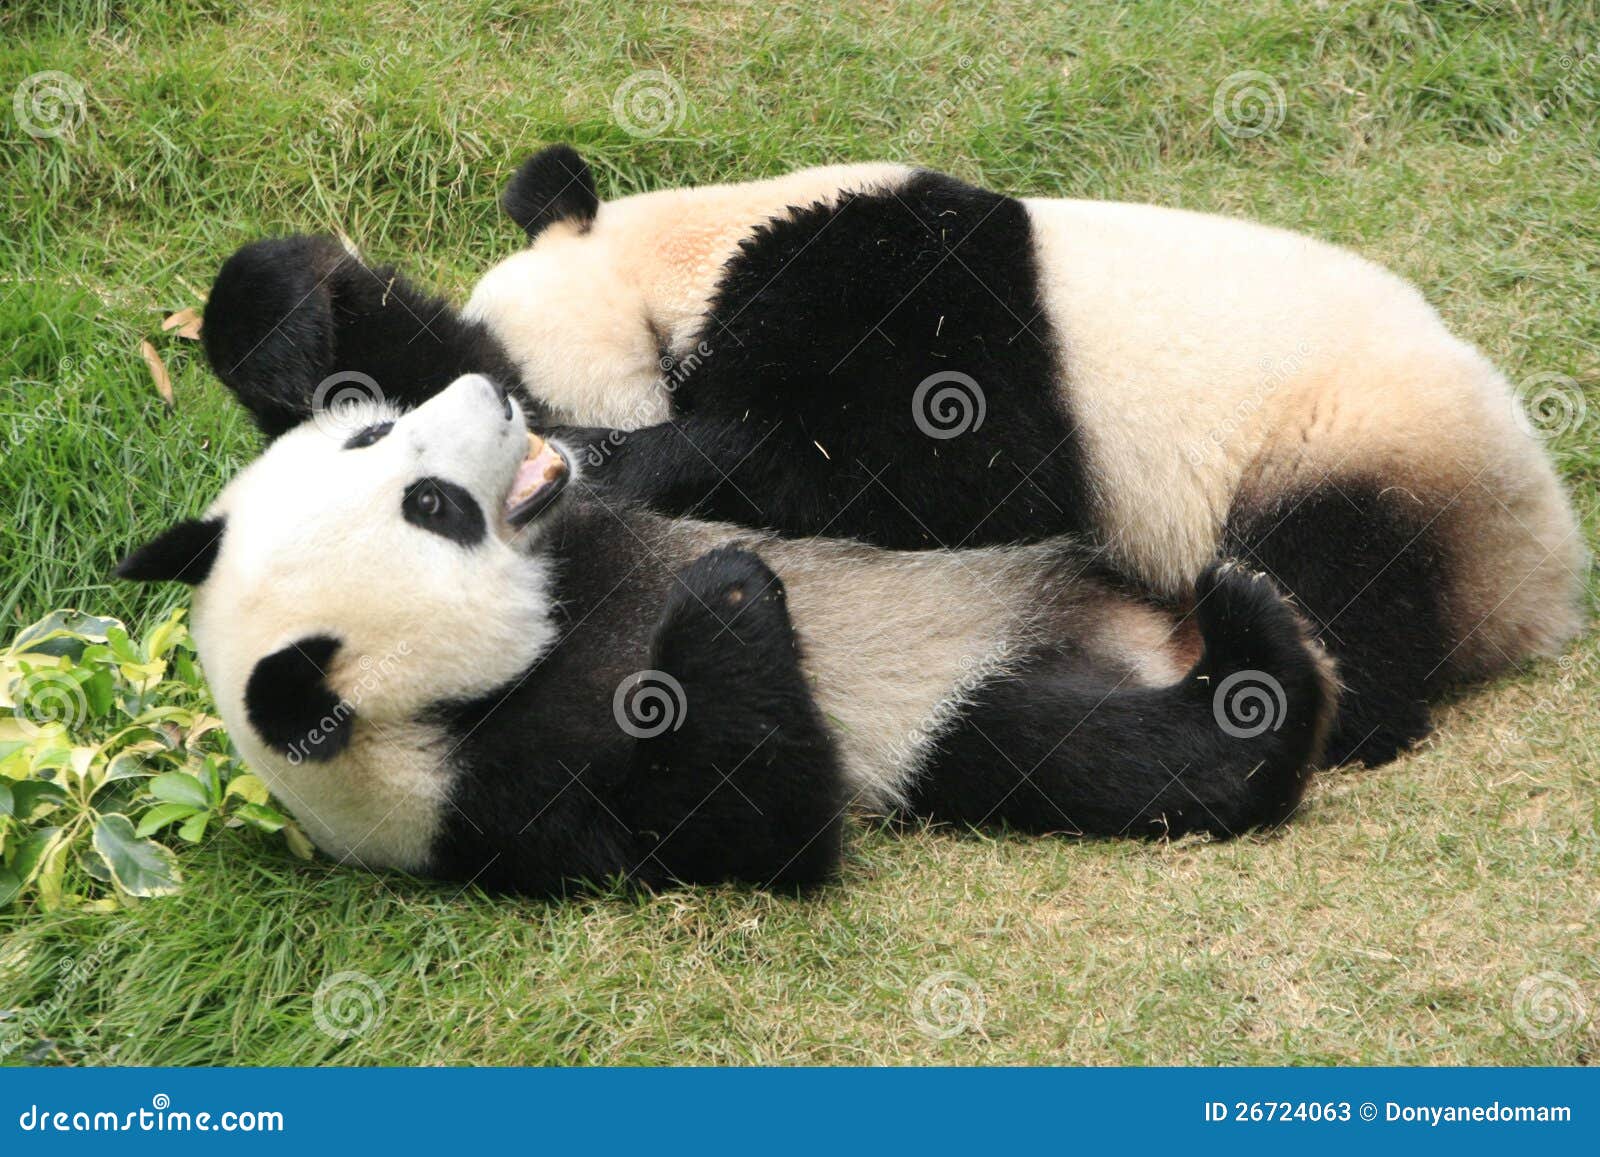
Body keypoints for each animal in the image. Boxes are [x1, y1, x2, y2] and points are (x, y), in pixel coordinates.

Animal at [118, 373, 1337, 897]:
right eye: (434, 507)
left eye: (368, 436)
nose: (490, 394)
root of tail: (1151, 638)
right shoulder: (516, 799)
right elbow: (759, 827)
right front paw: (730, 596)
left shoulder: (603, 520)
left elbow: (696, 465)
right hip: (964, 710)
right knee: (1110, 753)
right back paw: (1252, 635)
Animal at [200, 146, 1588, 771]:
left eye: (518, 429)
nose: (521, 448)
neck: (688, 254)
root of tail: (1543, 593)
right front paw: (293, 318)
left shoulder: (911, 282)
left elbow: (969, 467)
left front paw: (653, 456)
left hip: (1359, 436)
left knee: (1340, 572)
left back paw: (1310, 682)